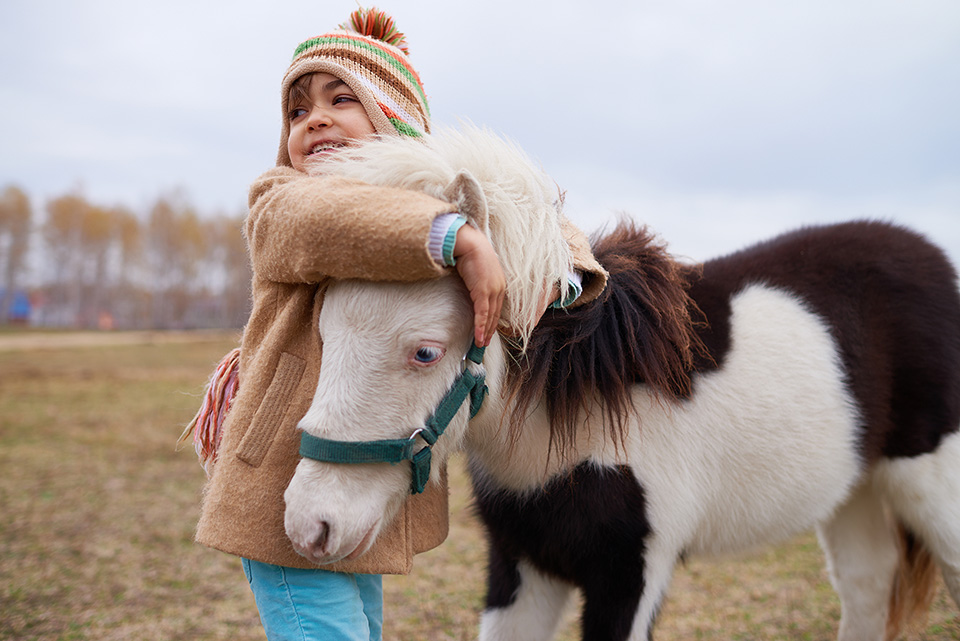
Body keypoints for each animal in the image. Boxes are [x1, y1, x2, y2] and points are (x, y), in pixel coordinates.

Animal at [282, 127, 960, 640]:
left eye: (425, 352)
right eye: (325, 333)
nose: (310, 527)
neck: (574, 401)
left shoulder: (633, 572)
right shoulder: (522, 564)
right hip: (856, 492)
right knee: (868, 588)